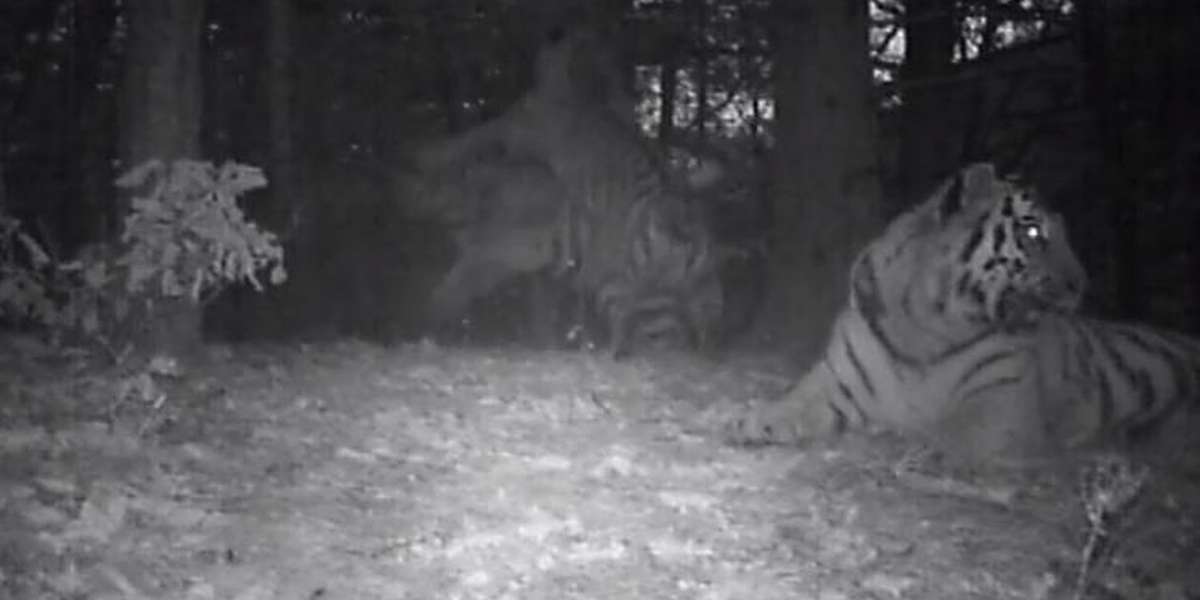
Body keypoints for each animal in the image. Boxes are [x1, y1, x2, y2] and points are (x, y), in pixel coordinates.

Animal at [728, 162, 1200, 461]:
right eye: (1033, 232)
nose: (1080, 284)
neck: (925, 327)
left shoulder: (1001, 407)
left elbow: (947, 431)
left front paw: (904, 438)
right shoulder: (836, 379)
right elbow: (794, 400)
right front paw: (756, 420)